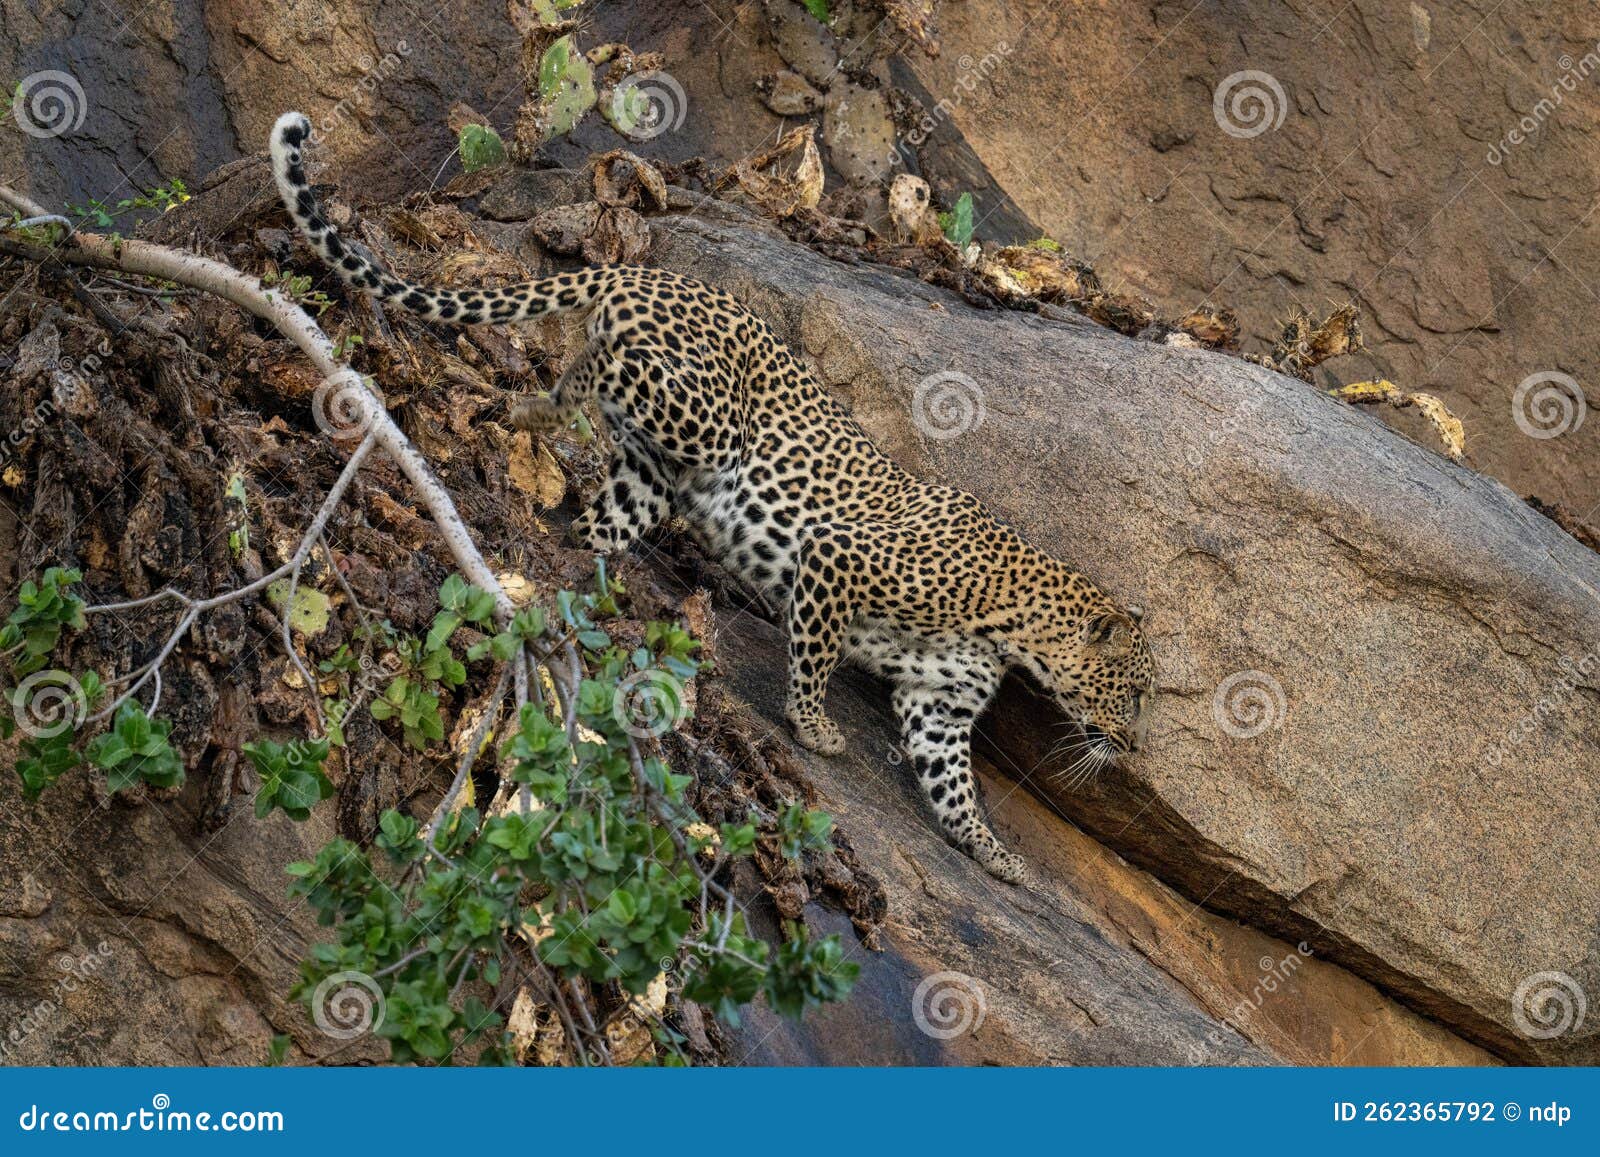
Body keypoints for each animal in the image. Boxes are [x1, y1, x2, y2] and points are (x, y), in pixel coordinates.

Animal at [270, 111, 1155, 884]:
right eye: (1139, 691)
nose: (1135, 749)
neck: (1021, 628)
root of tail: (653, 268)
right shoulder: (838, 559)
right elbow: (815, 655)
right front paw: (814, 727)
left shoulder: (936, 707)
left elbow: (955, 790)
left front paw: (996, 855)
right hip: (706, 419)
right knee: (597, 358)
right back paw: (544, 406)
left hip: (656, 473)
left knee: (600, 507)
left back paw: (579, 555)